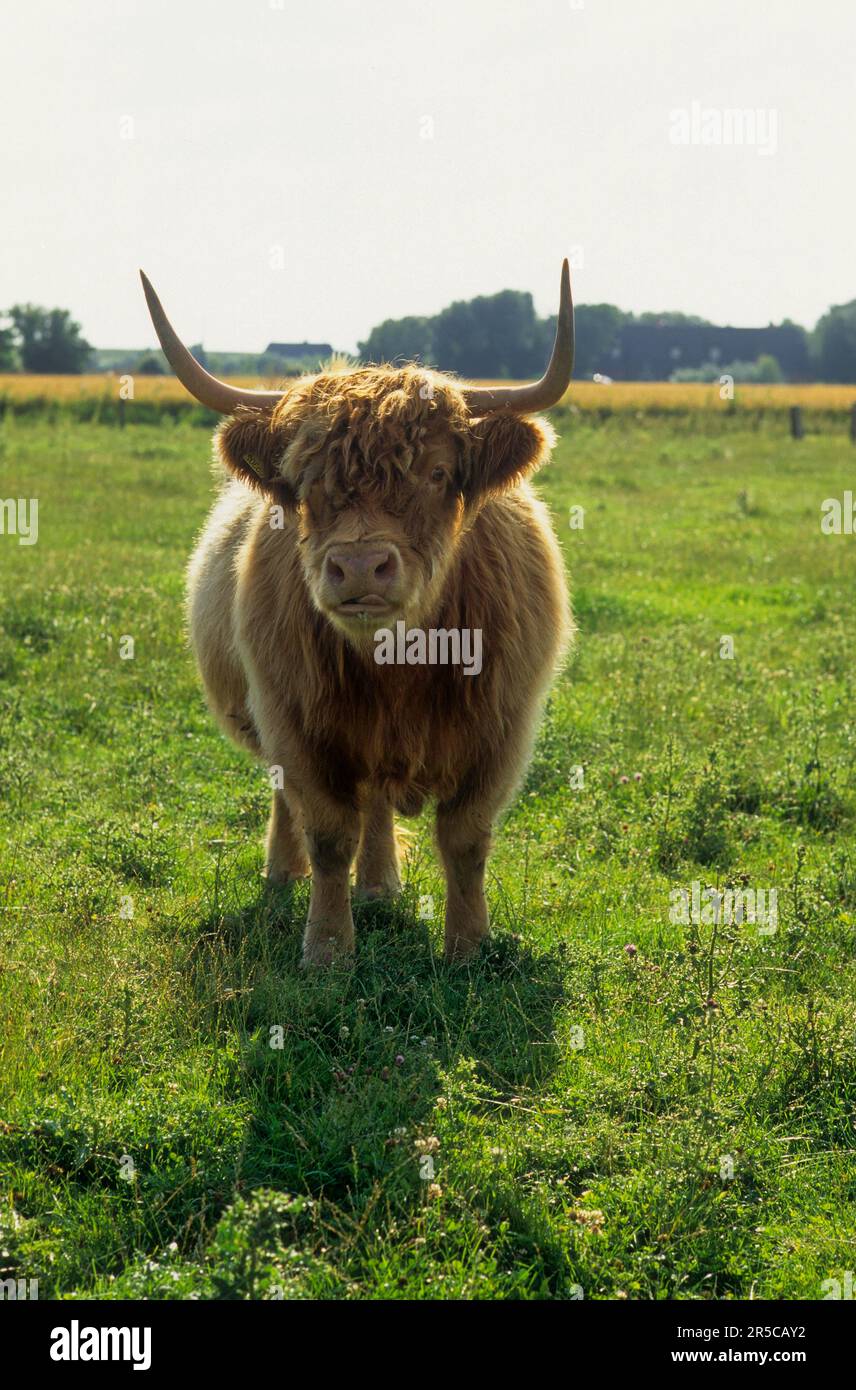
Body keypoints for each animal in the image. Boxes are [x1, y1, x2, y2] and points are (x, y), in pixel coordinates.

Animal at [140, 263, 575, 965]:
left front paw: (468, 948)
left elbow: (466, 839)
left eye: (437, 473)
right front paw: (326, 949)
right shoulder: (297, 722)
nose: (361, 566)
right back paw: (285, 874)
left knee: (375, 804)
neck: (397, 665)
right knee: (302, 802)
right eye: (305, 481)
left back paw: (379, 887)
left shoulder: (501, 729)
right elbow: (327, 834)